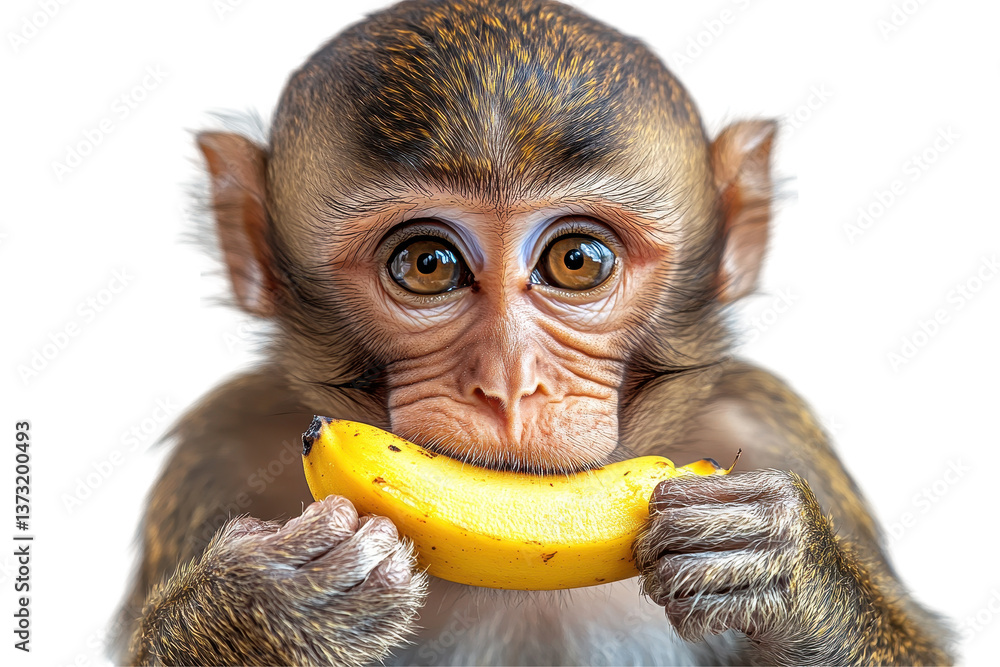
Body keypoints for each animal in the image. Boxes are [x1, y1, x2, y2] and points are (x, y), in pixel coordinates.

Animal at [114, 0, 953, 664]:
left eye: (576, 260)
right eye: (427, 263)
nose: (511, 383)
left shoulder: (767, 426)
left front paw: (786, 572)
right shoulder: (219, 449)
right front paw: (265, 607)